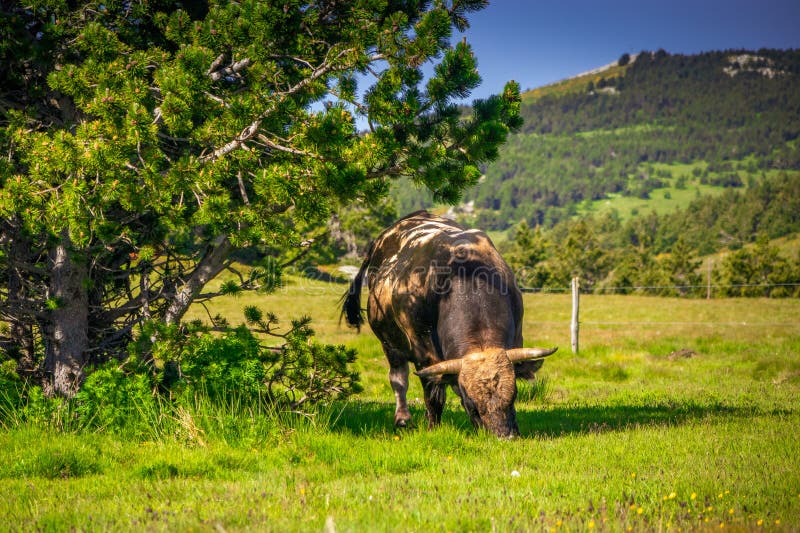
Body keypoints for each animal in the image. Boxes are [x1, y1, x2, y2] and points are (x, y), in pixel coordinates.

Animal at [342, 210, 556, 438]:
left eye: (513, 396)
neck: (467, 276)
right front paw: (432, 426)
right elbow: (433, 396)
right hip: (389, 343)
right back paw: (402, 418)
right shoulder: (424, 354)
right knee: (398, 378)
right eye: (472, 405)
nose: (505, 437)